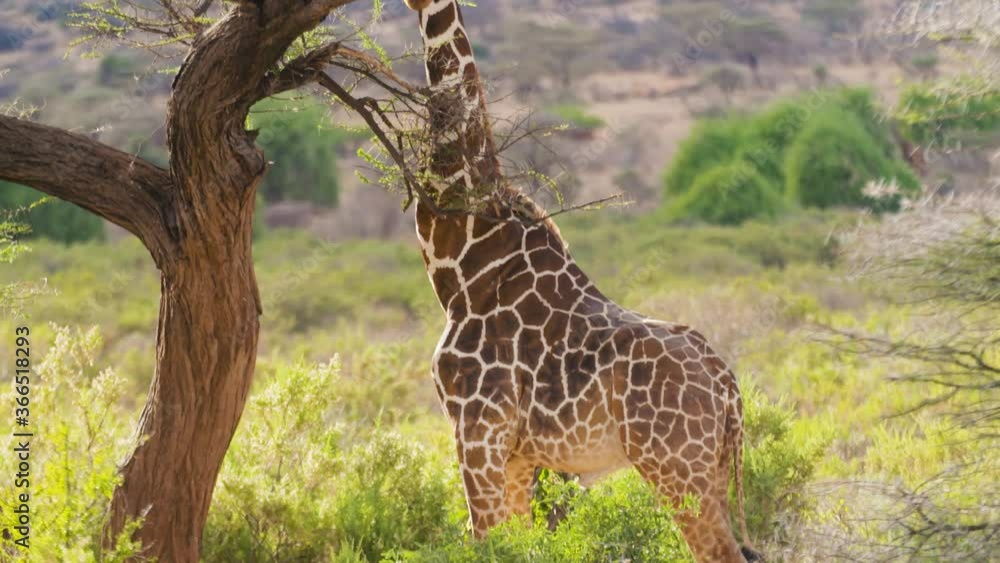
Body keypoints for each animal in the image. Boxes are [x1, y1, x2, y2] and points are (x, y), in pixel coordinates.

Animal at [403, 1, 761, 561]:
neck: (465, 264)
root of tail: (727, 385)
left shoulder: (477, 431)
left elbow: (484, 541)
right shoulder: (518, 456)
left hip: (677, 469)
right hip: (714, 467)